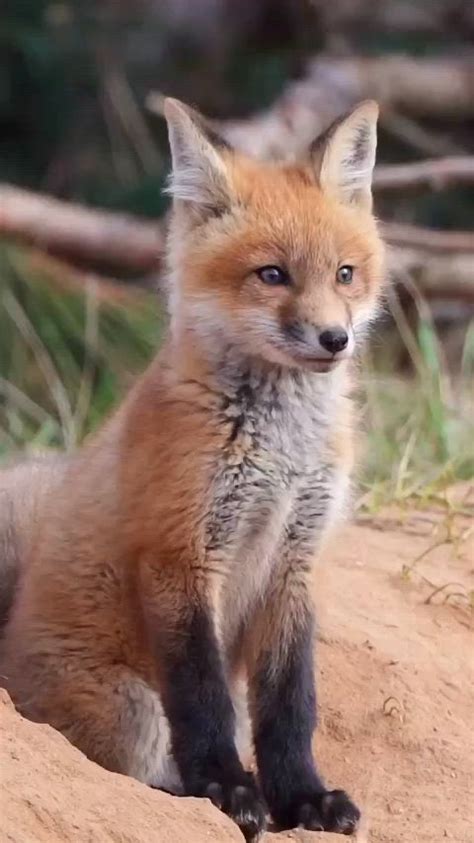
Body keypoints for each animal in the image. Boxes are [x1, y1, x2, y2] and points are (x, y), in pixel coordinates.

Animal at [0, 98, 385, 840]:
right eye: (272, 275)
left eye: (345, 274)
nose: (336, 339)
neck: (278, 452)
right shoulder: (179, 553)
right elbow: (202, 697)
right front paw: (229, 791)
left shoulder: (295, 561)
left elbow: (290, 705)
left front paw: (303, 798)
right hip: (134, 711)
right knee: (142, 766)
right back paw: (184, 790)